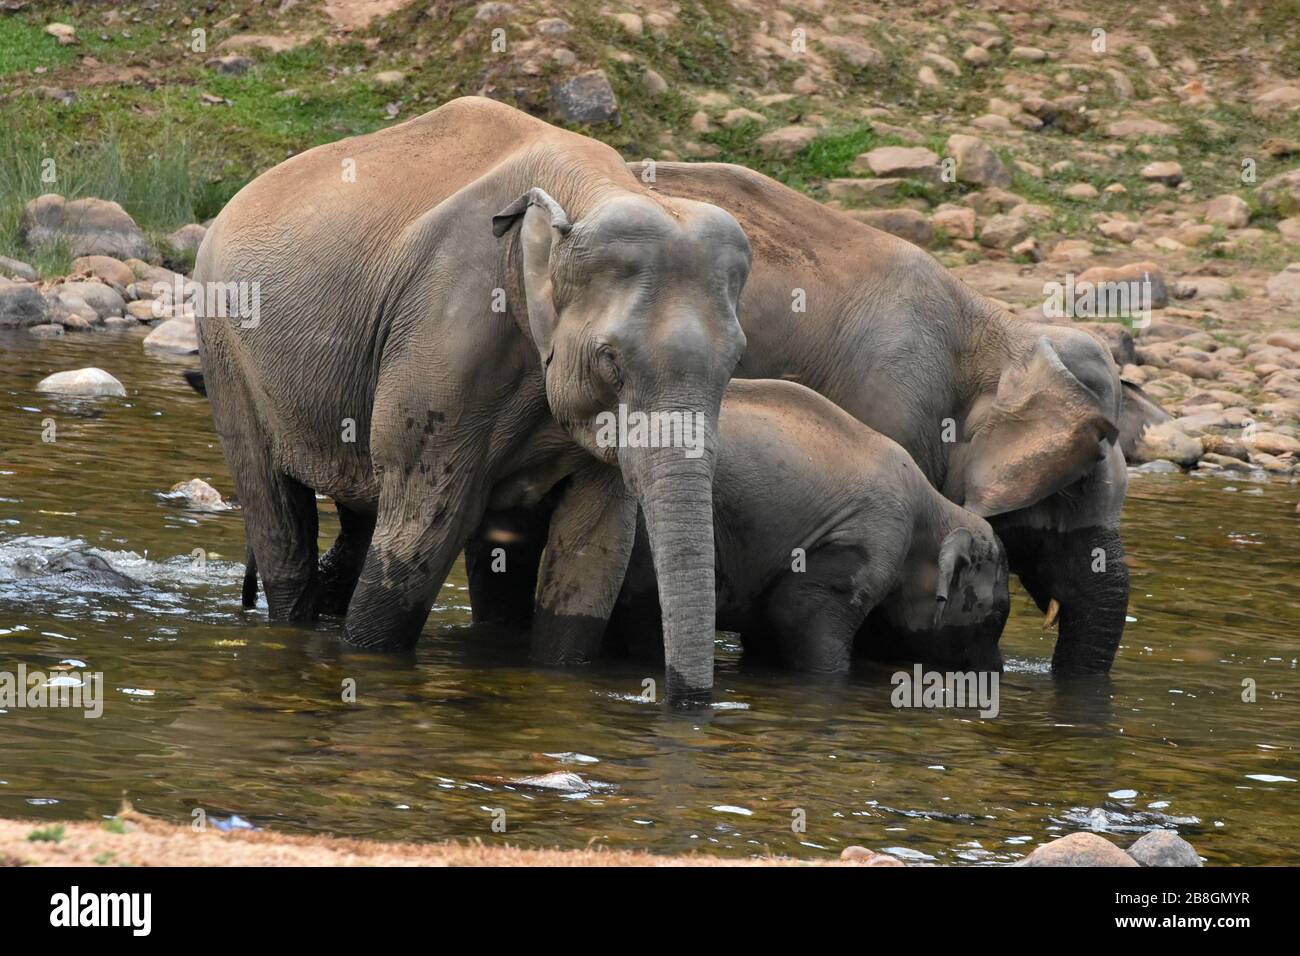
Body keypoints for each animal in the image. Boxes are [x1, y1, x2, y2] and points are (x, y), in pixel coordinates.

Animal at [192, 97, 752, 704]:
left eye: (736, 361)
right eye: (610, 361)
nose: (684, 703)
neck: (592, 188)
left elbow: (594, 547)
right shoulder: (444, 337)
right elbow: (427, 521)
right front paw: (367, 659)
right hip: (225, 351)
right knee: (276, 512)